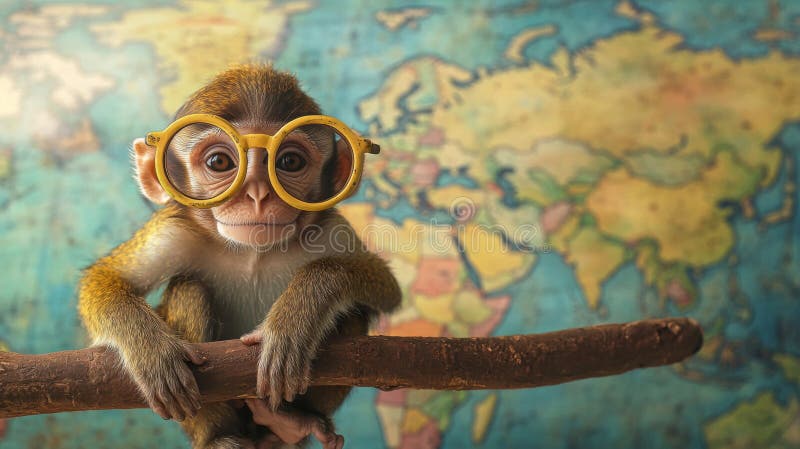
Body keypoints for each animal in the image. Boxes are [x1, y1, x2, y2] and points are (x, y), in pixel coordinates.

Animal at [77, 64, 401, 449]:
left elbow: (384, 286)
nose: (258, 195)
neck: (253, 255)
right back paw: (219, 436)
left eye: (289, 161)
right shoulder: (177, 232)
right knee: (190, 289)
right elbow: (106, 278)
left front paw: (297, 317)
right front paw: (151, 350)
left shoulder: (330, 230)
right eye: (219, 162)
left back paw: (292, 422)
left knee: (353, 313)